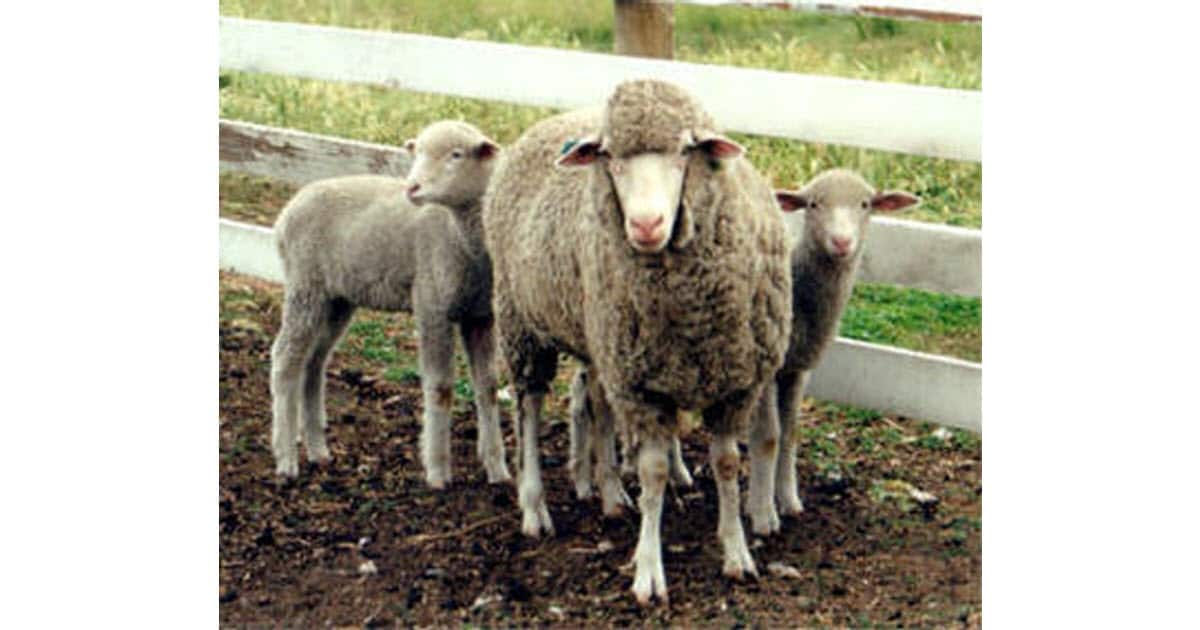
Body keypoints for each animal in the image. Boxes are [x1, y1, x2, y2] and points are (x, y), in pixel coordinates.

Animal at [268, 120, 512, 490]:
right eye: (418, 152)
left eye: (456, 155)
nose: (413, 188)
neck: (465, 240)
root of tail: (288, 209)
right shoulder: (431, 305)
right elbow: (440, 388)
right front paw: (438, 471)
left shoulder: (481, 316)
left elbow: (487, 387)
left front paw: (498, 469)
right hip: (305, 286)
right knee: (285, 359)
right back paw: (285, 459)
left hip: (336, 298)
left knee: (314, 362)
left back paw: (318, 450)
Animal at [482, 79, 792, 605]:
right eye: (609, 156)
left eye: (686, 150)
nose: (646, 225)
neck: (689, 311)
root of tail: (550, 120)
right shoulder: (642, 389)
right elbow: (653, 473)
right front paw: (648, 571)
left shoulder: (734, 383)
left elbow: (728, 464)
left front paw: (736, 553)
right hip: (522, 323)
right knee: (528, 410)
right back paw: (534, 507)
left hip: (603, 344)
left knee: (597, 403)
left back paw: (609, 494)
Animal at [744, 168, 920, 535]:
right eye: (813, 204)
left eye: (865, 204)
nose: (841, 242)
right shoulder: (767, 369)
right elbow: (767, 437)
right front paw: (763, 514)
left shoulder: (797, 369)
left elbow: (790, 433)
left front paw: (789, 500)